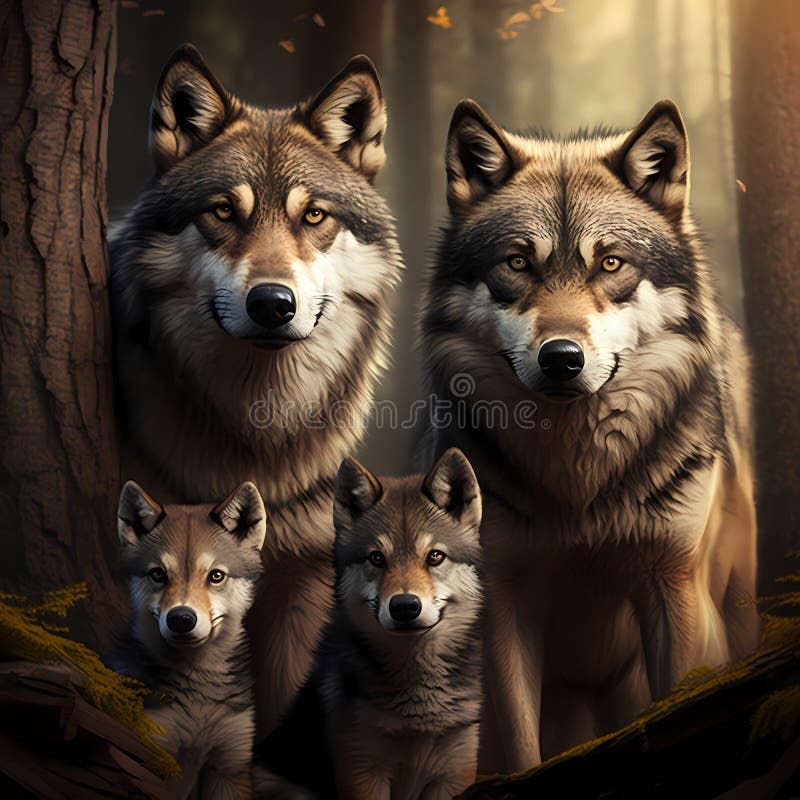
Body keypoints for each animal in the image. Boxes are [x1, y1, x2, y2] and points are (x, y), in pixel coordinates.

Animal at [110, 479, 267, 799]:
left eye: (216, 576)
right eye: (158, 574)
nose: (181, 618)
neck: (198, 699)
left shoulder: (229, 766)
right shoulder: (149, 762)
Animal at [419, 99, 759, 772]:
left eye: (611, 263)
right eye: (517, 263)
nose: (561, 358)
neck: (579, 484)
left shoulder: (672, 588)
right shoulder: (504, 604)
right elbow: (522, 751)